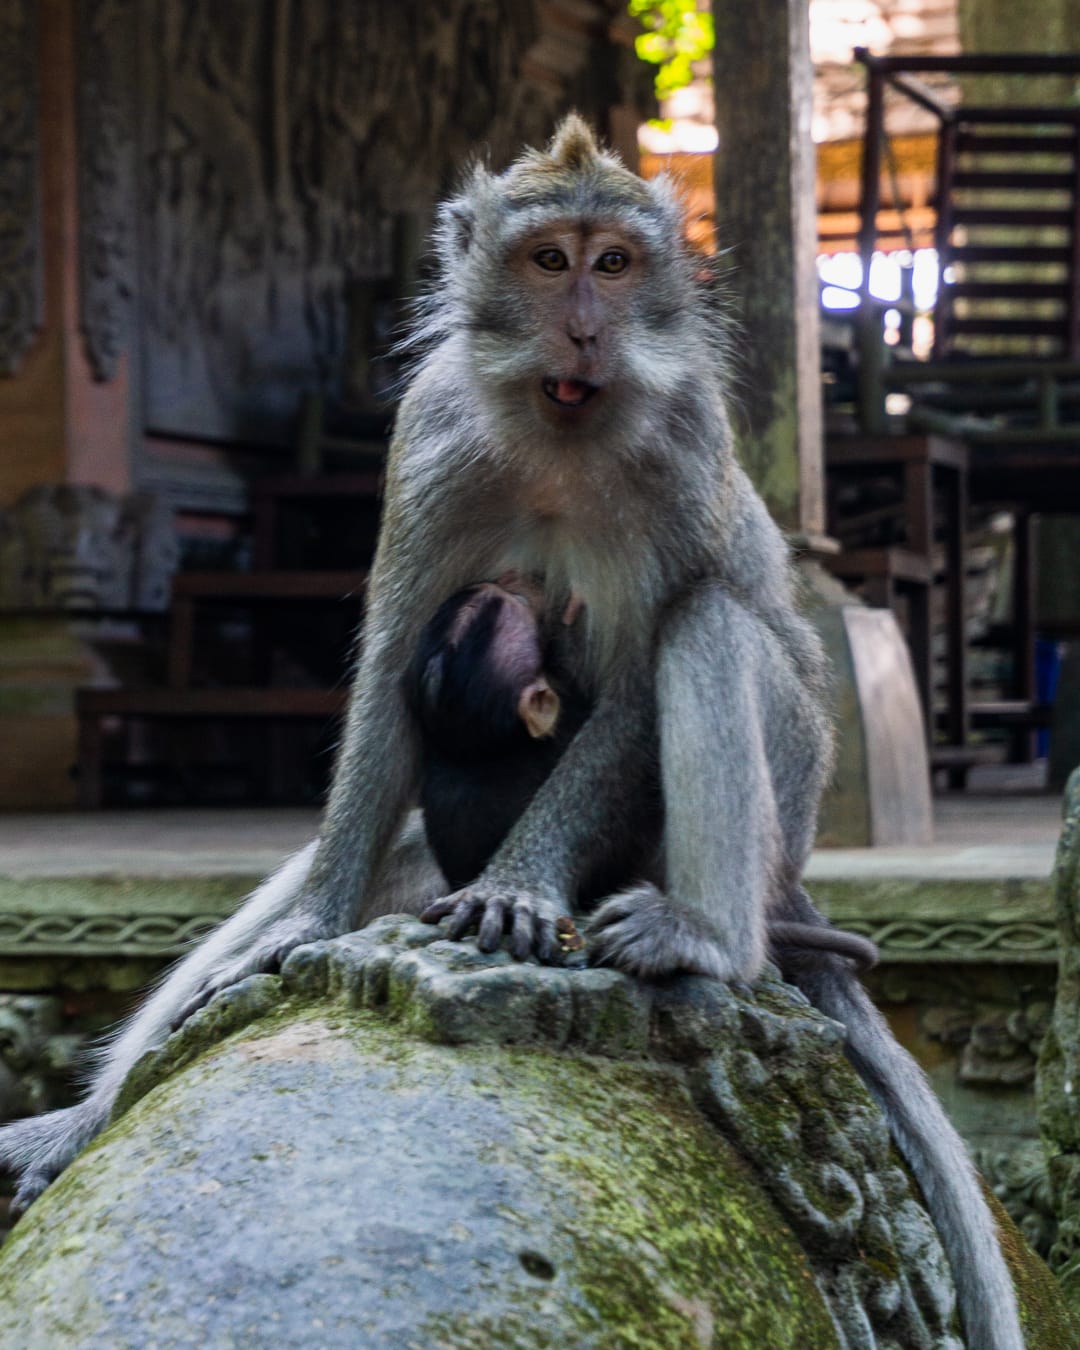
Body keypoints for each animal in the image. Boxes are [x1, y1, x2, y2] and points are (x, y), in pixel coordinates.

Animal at [0, 117, 1022, 1350]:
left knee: (709, 623)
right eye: (549, 260)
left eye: (614, 264)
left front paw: (520, 889)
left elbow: (634, 677)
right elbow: (389, 675)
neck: (558, 420)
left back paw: (706, 937)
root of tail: (791, 891)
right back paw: (88, 1117)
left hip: (790, 786)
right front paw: (312, 923)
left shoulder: (684, 442)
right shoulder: (428, 438)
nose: (585, 324)